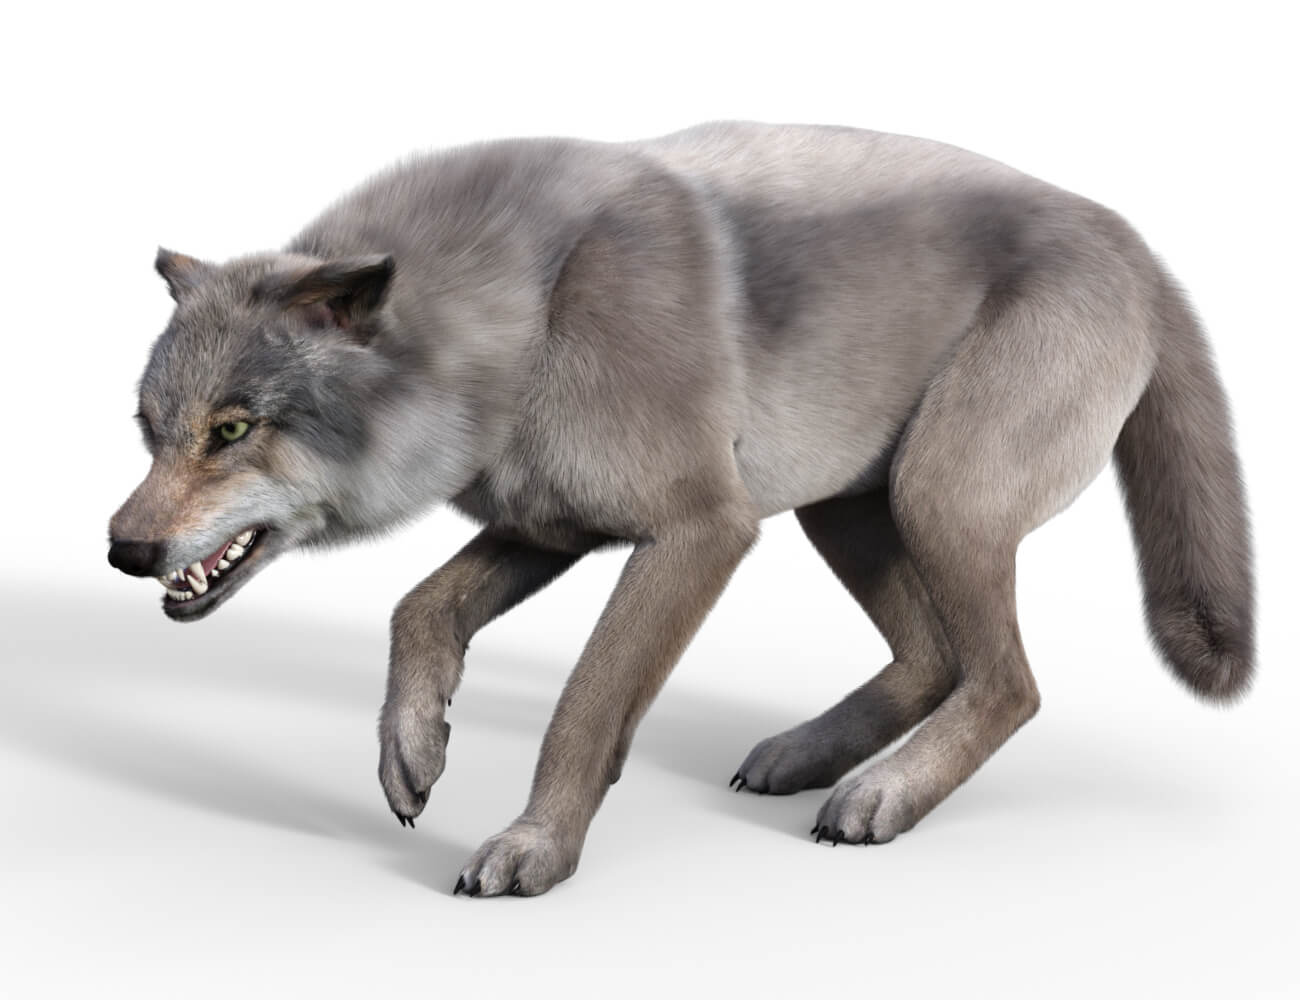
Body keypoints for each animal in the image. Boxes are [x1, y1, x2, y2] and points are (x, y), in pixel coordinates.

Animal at [107, 122, 1254, 896]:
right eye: (150, 428)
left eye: (232, 430)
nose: (123, 548)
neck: (530, 311)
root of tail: (1140, 249)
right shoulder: (548, 527)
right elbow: (419, 607)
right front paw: (413, 753)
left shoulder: (699, 532)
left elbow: (584, 699)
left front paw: (537, 847)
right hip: (845, 507)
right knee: (937, 657)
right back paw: (807, 756)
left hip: (936, 495)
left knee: (1008, 682)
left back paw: (880, 795)